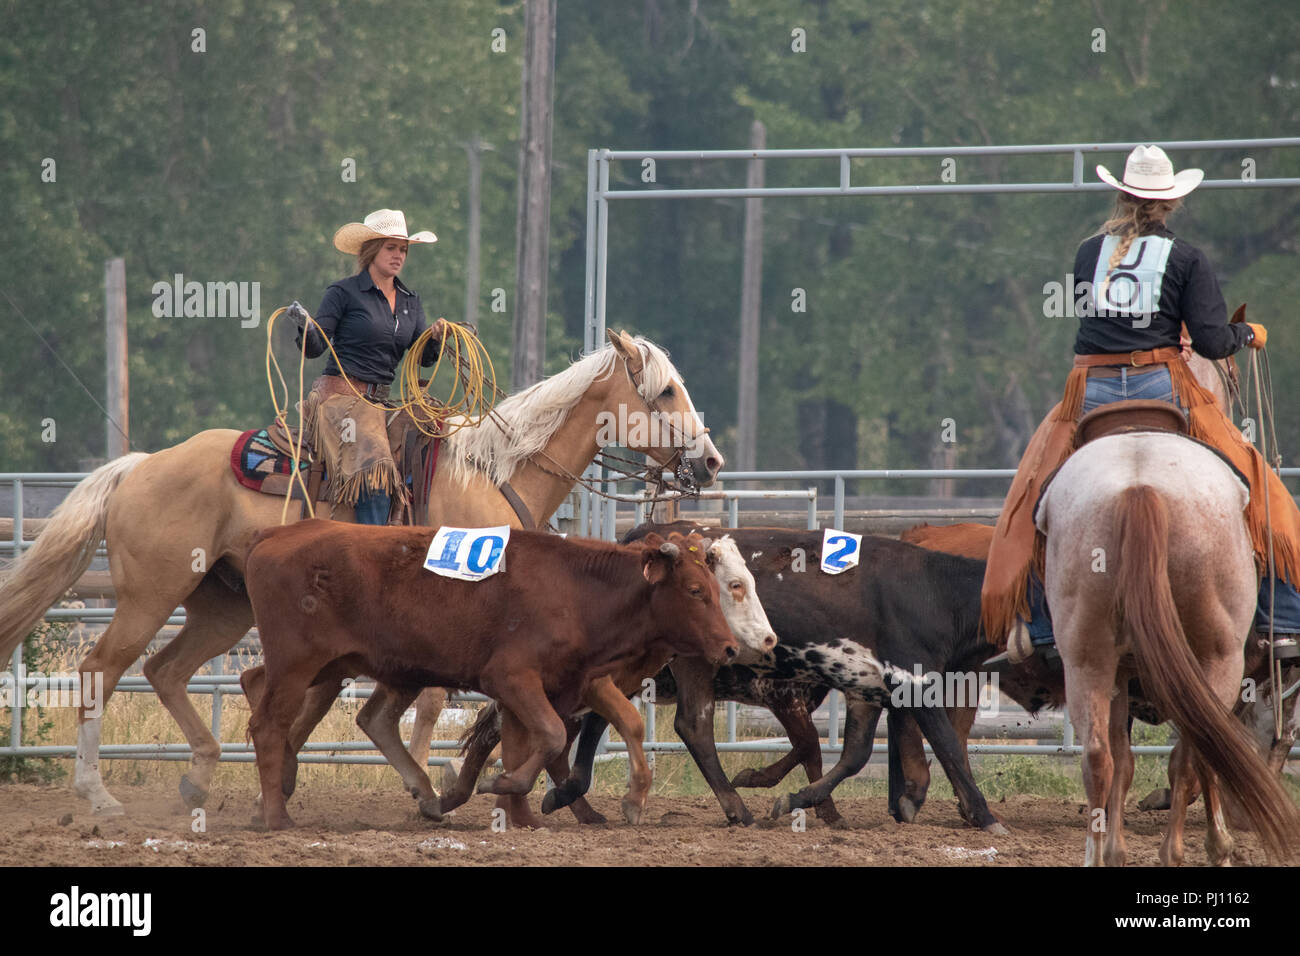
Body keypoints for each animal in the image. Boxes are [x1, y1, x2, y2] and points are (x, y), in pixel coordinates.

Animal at [240, 520, 738, 830]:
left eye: (717, 589)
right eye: (695, 590)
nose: (730, 647)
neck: (576, 591)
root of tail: (274, 535)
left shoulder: (541, 688)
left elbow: (526, 744)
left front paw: (523, 817)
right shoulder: (511, 677)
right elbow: (552, 737)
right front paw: (506, 786)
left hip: (347, 666)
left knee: (350, 713)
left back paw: (421, 794)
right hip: (298, 662)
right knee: (268, 724)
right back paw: (277, 816)